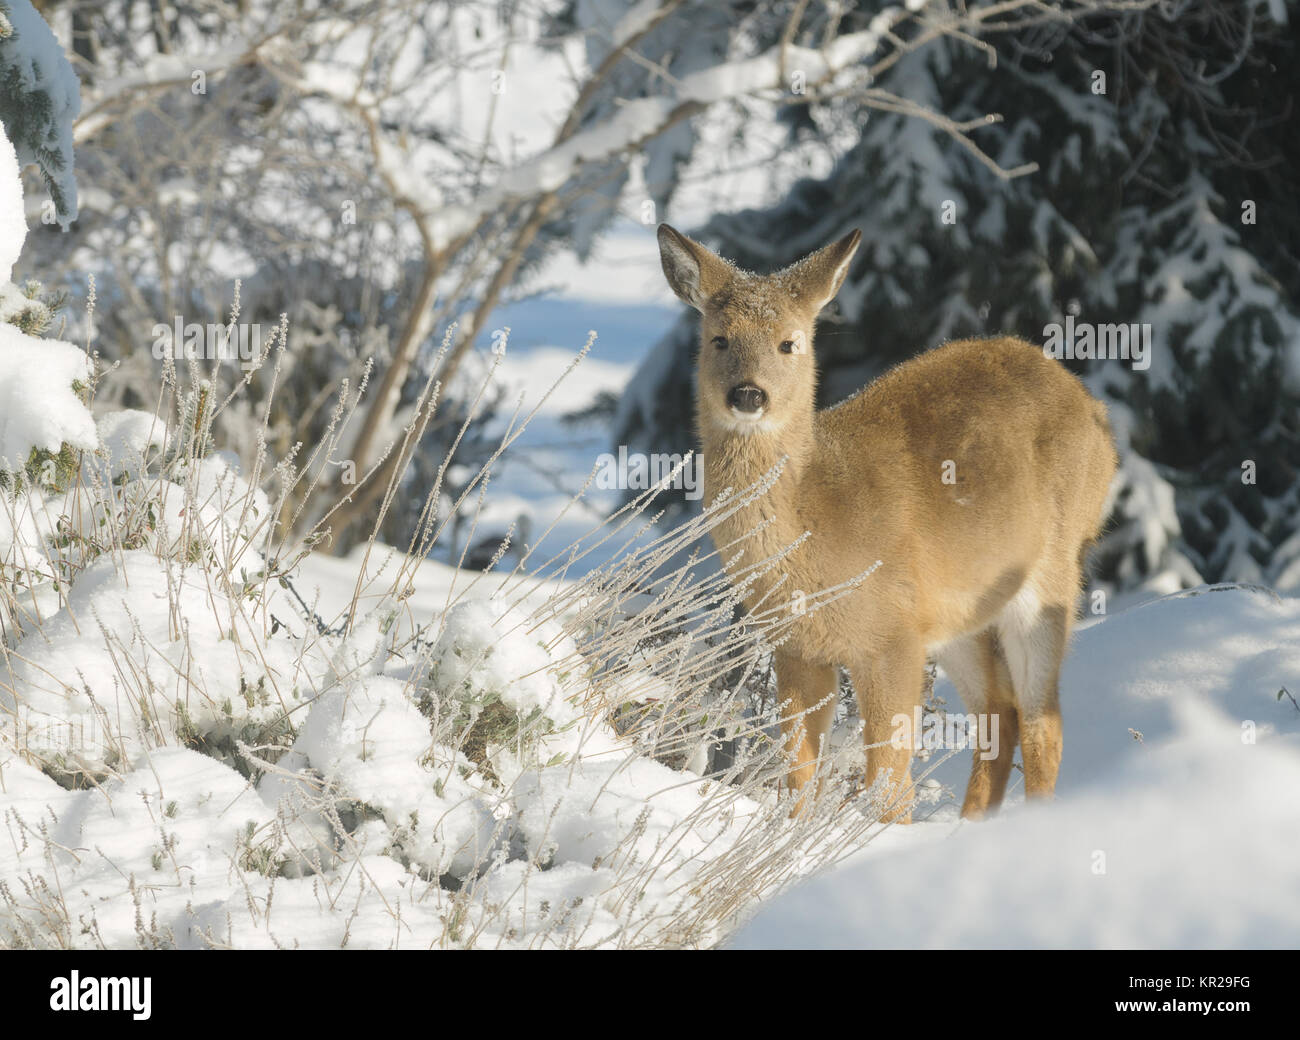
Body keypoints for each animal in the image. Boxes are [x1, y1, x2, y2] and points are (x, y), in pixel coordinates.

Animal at [660, 223, 1118, 826]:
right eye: (718, 339)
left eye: (789, 342)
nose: (748, 394)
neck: (816, 531)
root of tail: (1097, 414)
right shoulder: (798, 646)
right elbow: (799, 771)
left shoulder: (891, 638)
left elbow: (888, 782)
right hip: (959, 614)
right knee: (1001, 713)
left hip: (1049, 577)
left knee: (1045, 722)